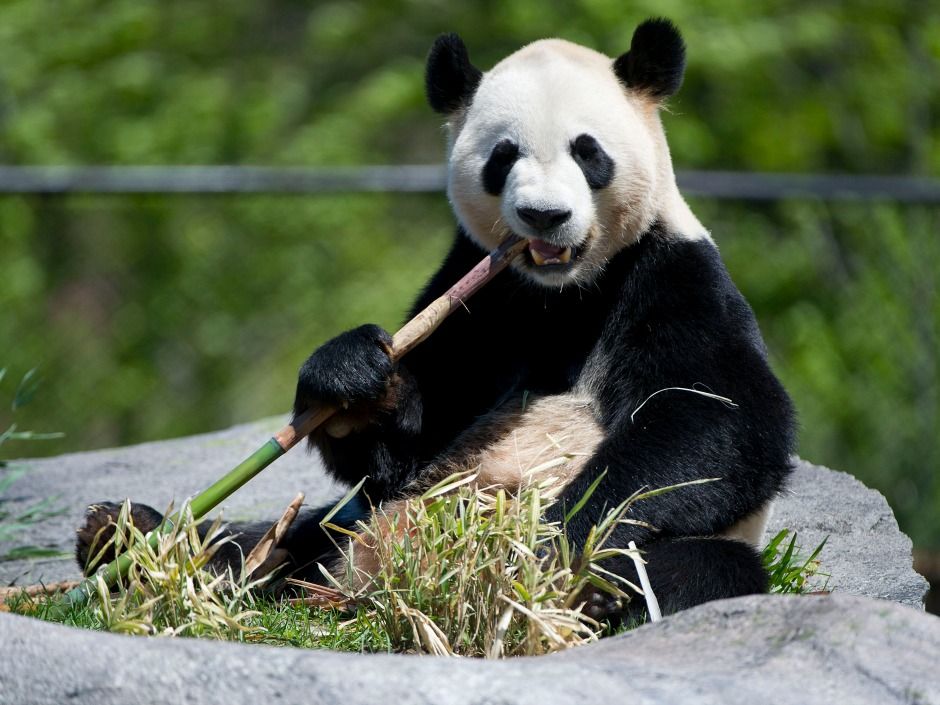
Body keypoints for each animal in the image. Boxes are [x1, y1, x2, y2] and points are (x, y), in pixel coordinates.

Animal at [76, 18, 796, 624]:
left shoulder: (670, 276)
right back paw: (127, 538)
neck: (562, 293)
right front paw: (352, 377)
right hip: (345, 530)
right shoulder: (476, 289)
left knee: (693, 568)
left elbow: (717, 419)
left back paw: (570, 595)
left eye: (587, 152)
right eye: (504, 156)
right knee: (264, 539)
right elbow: (412, 436)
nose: (543, 216)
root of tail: (359, 592)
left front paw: (554, 547)